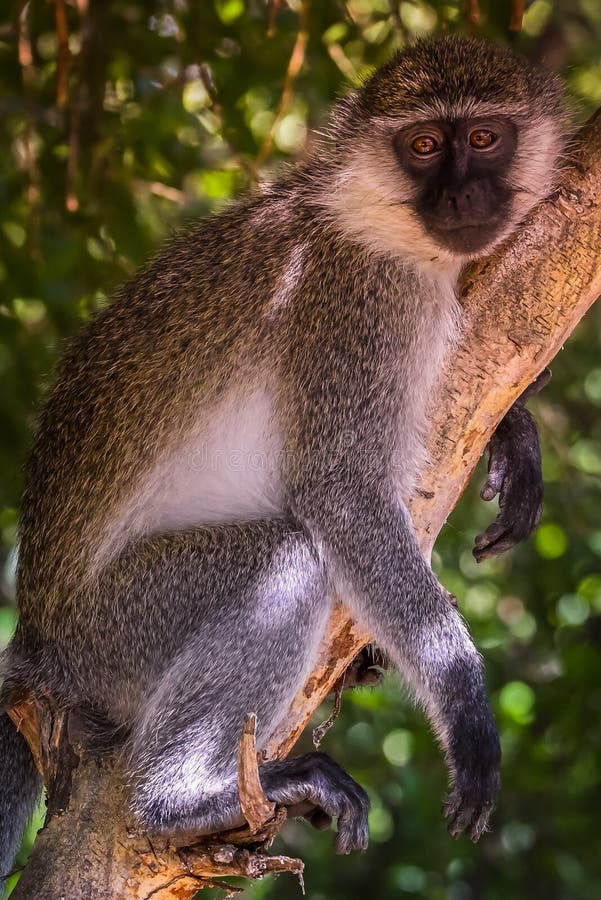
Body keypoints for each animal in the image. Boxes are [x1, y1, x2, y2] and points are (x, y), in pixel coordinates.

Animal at [0, 35, 567, 875]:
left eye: (484, 136)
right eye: (423, 146)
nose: (460, 195)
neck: (370, 218)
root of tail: (36, 648)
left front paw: (513, 432)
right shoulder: (359, 303)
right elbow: (341, 494)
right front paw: (464, 704)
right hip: (114, 631)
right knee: (285, 561)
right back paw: (178, 804)